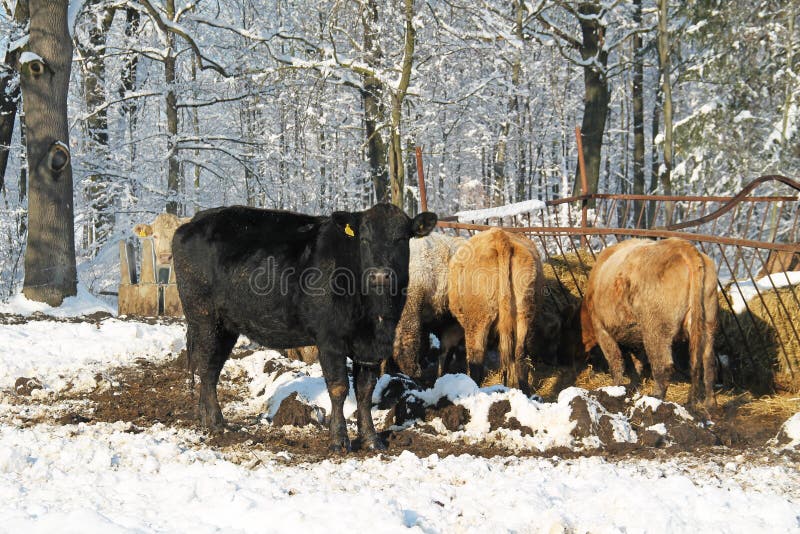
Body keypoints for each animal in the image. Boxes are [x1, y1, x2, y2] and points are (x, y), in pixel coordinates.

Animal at [172, 204, 437, 452]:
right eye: (364, 239)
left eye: (401, 238)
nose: (380, 275)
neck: (375, 314)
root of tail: (194, 221)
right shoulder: (330, 339)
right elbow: (339, 388)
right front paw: (339, 440)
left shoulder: (371, 346)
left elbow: (365, 391)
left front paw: (371, 439)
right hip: (204, 318)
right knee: (206, 367)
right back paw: (217, 423)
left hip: (226, 326)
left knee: (211, 369)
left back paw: (206, 419)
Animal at [579, 238, 718, 406]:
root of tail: (680, 245)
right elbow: (637, 363)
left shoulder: (602, 329)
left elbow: (616, 362)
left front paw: (614, 389)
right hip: (707, 324)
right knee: (708, 363)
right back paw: (709, 404)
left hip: (656, 329)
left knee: (662, 365)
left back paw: (655, 398)